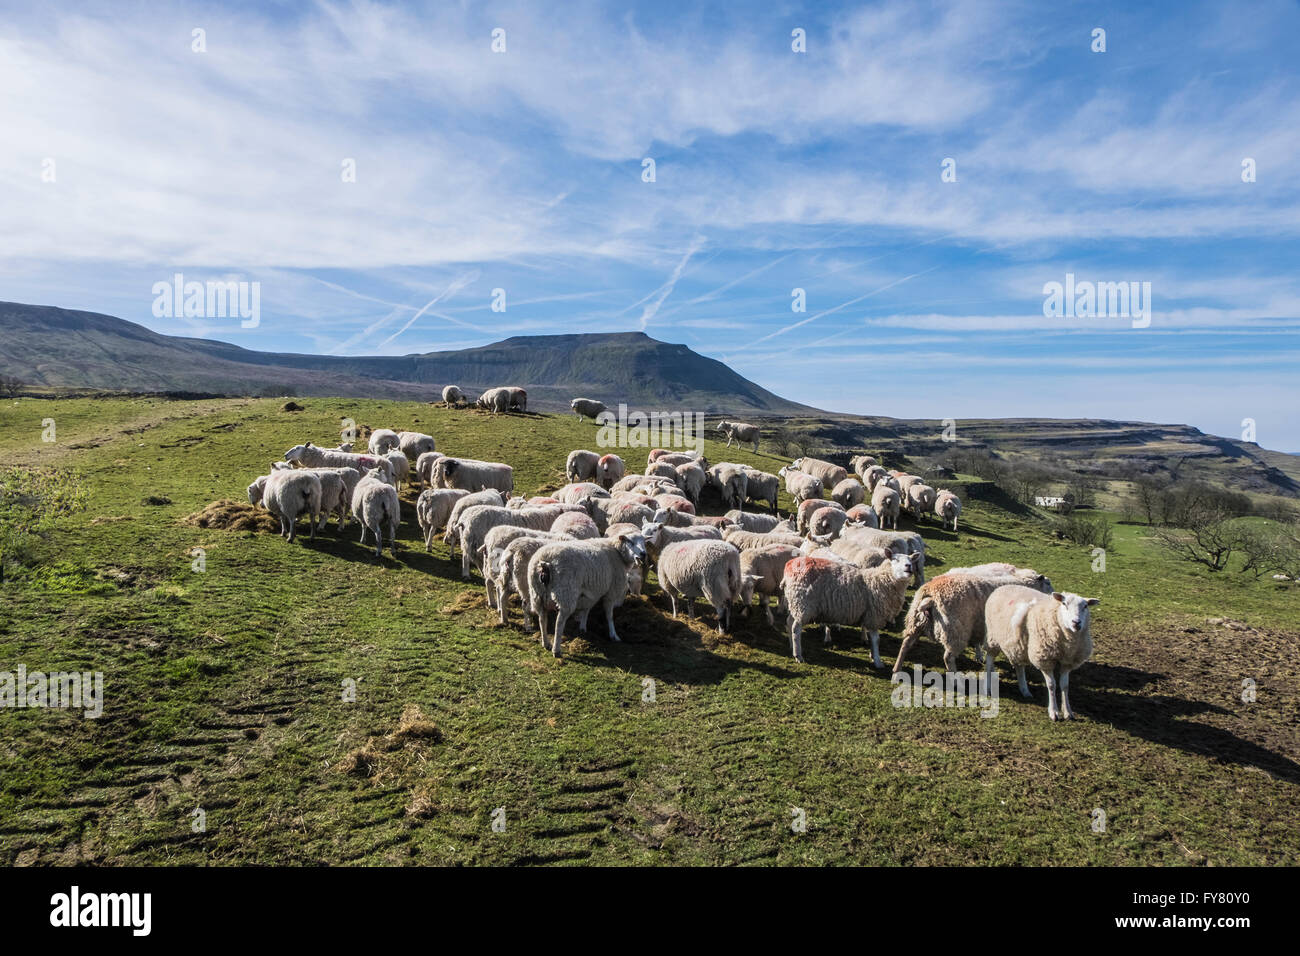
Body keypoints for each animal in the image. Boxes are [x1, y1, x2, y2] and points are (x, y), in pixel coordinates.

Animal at [782, 552, 920, 666]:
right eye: (895, 559)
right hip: (803, 604)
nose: (908, 566)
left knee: (789, 622)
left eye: (910, 559)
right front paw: (878, 661)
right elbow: (876, 640)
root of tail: (790, 565)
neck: (879, 580)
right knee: (796, 628)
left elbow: (872, 638)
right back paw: (798, 655)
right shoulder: (874, 615)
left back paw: (791, 646)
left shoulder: (869, 615)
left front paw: (872, 655)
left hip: (795, 602)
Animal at [893, 567, 1054, 675]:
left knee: (905, 644)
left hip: (915, 622)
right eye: (1048, 583)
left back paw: (896, 671)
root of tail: (930, 595)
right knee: (948, 657)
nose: (1053, 595)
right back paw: (956, 680)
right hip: (955, 630)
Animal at [983, 586, 1099, 720]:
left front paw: (1068, 712)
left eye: (1085, 606)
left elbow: (1065, 685)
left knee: (1019, 666)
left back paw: (1025, 690)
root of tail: (1004, 586)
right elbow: (1052, 685)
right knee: (989, 659)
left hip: (1017, 644)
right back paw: (988, 688)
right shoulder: (1044, 659)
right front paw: (1053, 712)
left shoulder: (1067, 662)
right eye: (1064, 604)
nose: (1076, 622)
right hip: (993, 636)